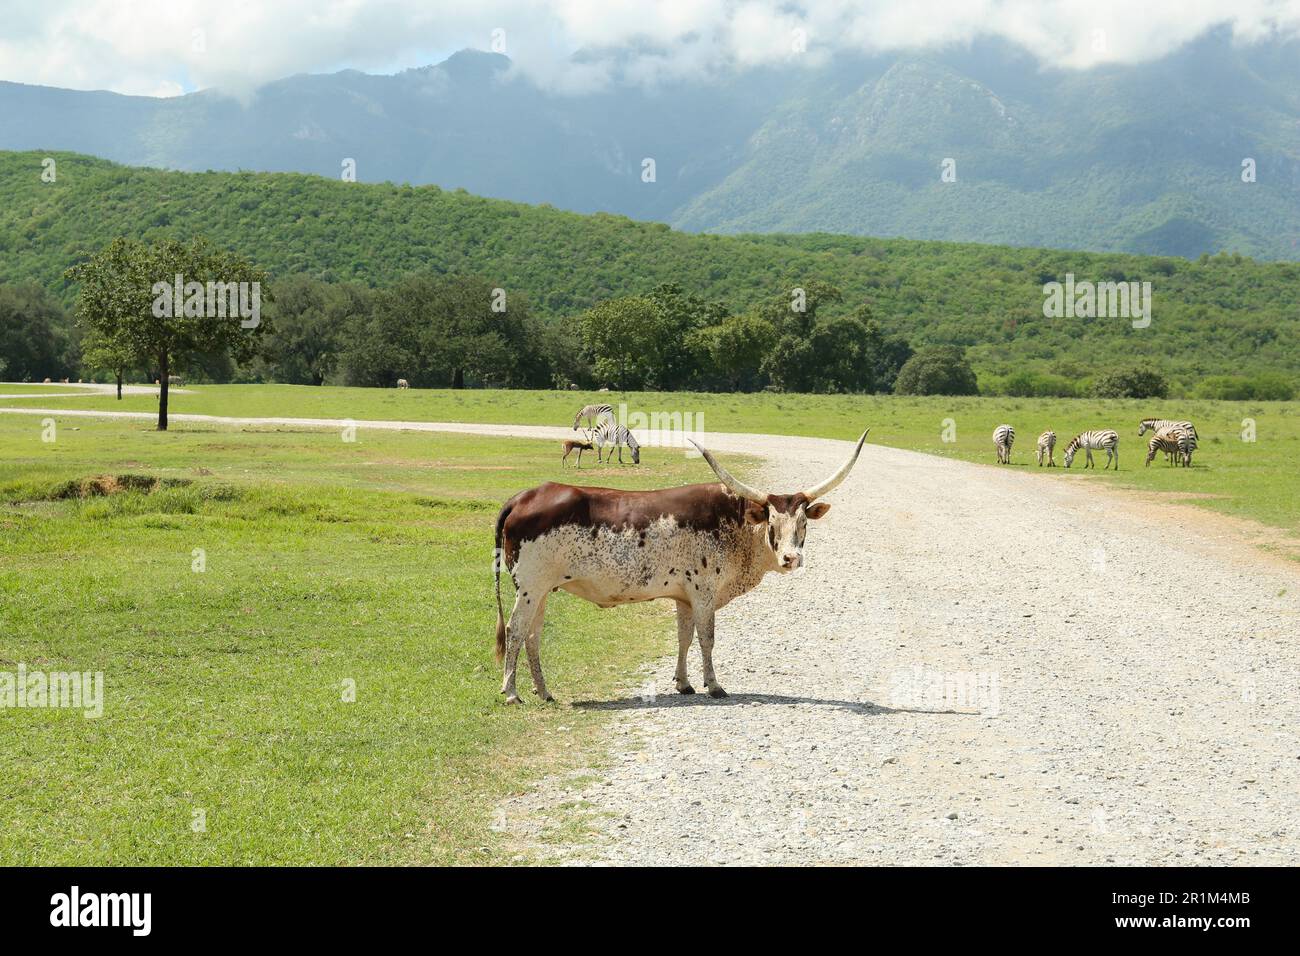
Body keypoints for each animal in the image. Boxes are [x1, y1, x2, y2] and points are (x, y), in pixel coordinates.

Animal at [492, 429, 869, 704]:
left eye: (803, 523)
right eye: (773, 523)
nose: (791, 558)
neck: (735, 522)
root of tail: (524, 497)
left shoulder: (684, 597)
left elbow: (684, 638)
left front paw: (683, 683)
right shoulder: (703, 592)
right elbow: (707, 638)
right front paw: (714, 686)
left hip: (542, 590)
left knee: (532, 636)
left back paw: (544, 692)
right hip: (530, 587)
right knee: (515, 630)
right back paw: (511, 693)